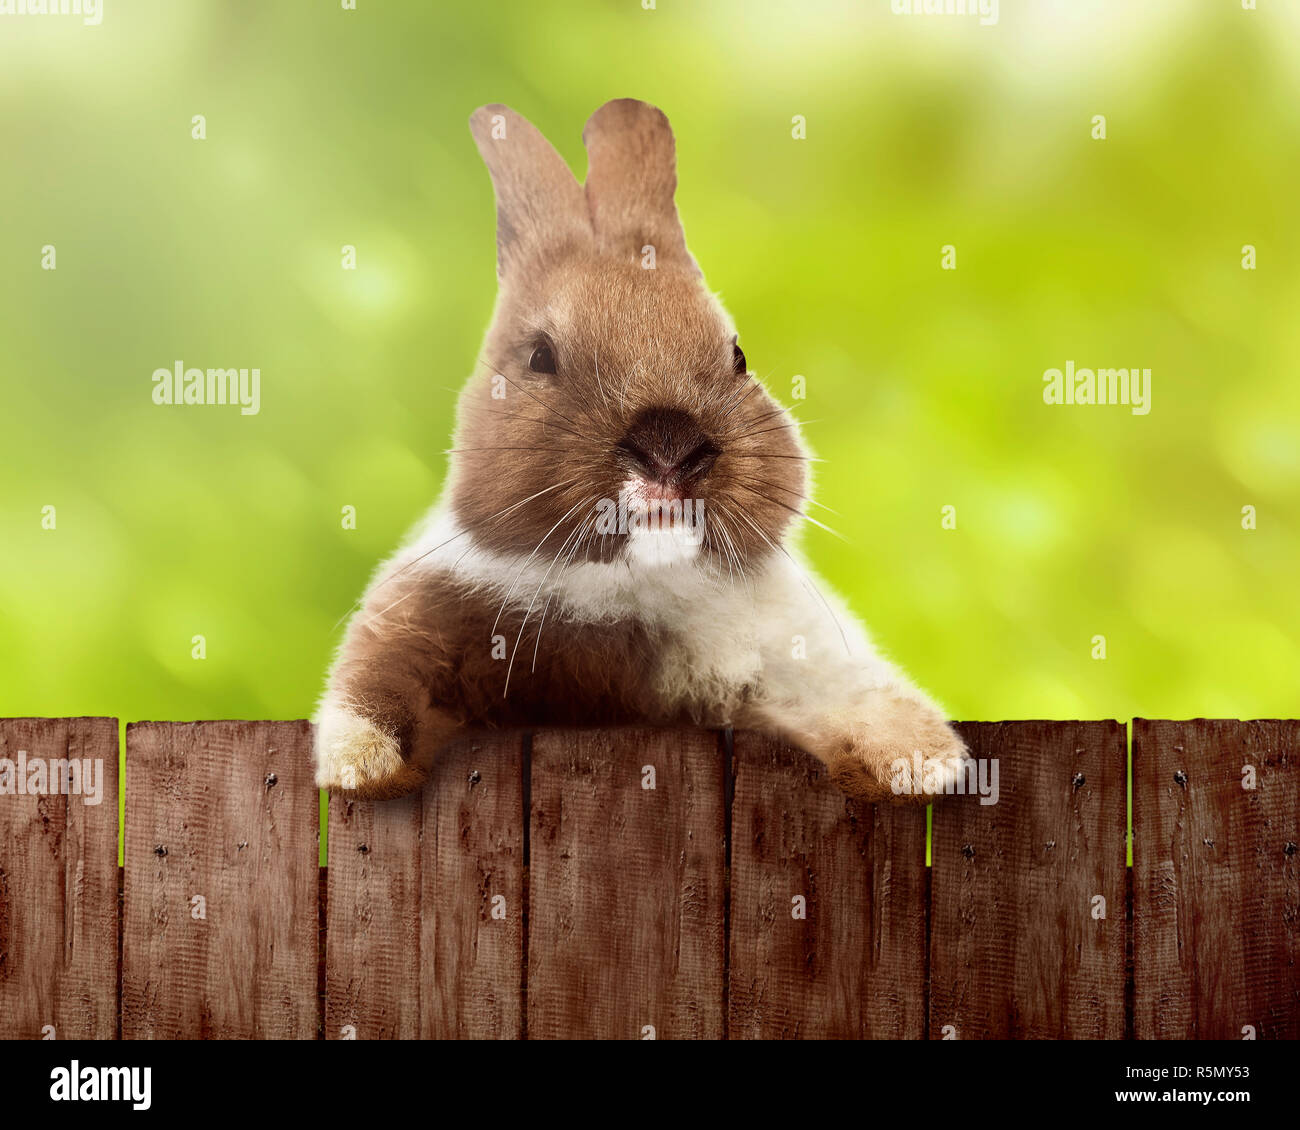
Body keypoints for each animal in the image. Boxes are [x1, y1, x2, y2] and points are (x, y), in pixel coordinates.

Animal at [314, 98, 970, 804]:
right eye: (540, 357)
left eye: (739, 356)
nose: (669, 449)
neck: (637, 582)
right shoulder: (410, 620)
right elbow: (377, 686)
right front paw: (363, 766)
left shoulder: (801, 661)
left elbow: (855, 698)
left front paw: (926, 762)